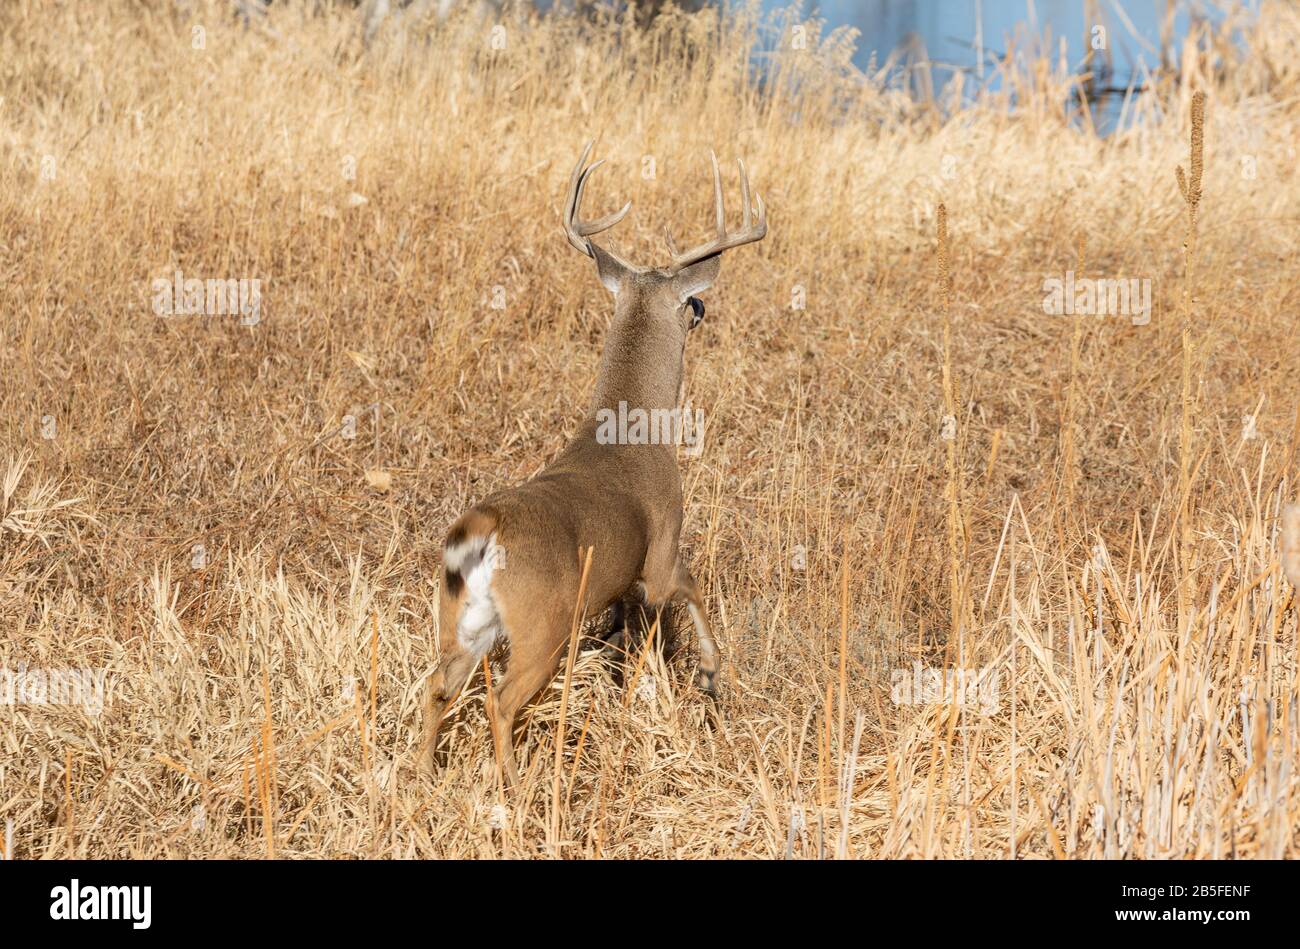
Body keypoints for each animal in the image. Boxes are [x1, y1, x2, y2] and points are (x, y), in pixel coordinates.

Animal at [423, 142, 767, 786]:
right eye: (691, 303)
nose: (701, 309)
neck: (631, 427)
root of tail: (481, 530)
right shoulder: (659, 551)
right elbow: (689, 587)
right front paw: (712, 676)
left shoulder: (619, 590)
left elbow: (624, 635)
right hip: (542, 626)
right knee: (499, 700)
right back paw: (519, 791)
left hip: (461, 621)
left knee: (437, 686)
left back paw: (422, 777)